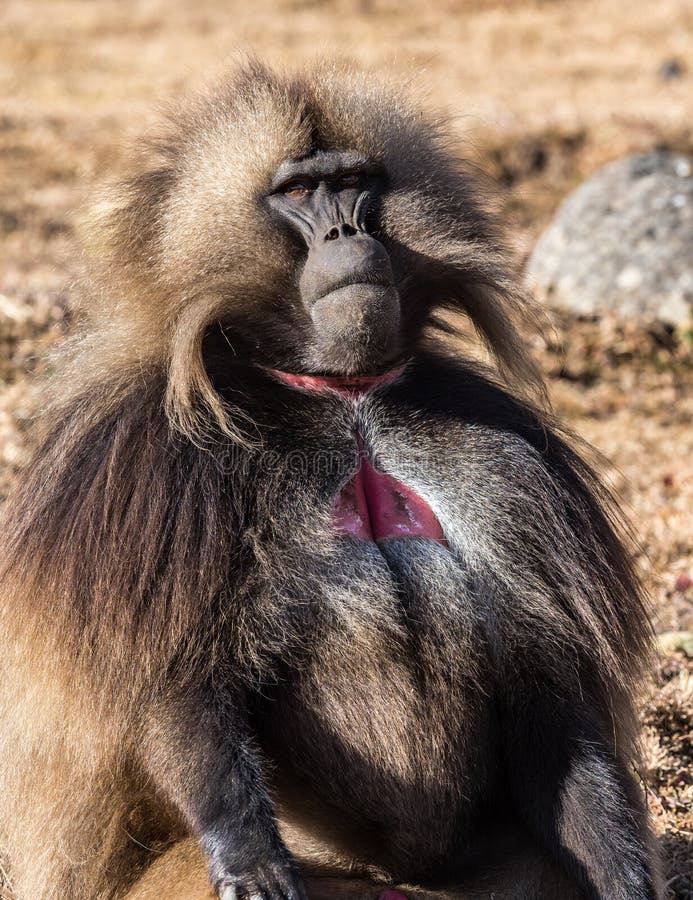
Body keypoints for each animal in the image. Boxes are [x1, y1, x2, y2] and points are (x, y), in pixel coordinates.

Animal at [0, 59, 661, 900]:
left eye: (351, 183)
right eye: (296, 192)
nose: (350, 234)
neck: (345, 399)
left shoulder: (505, 461)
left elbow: (544, 689)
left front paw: (625, 880)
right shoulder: (158, 462)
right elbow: (168, 684)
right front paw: (248, 853)